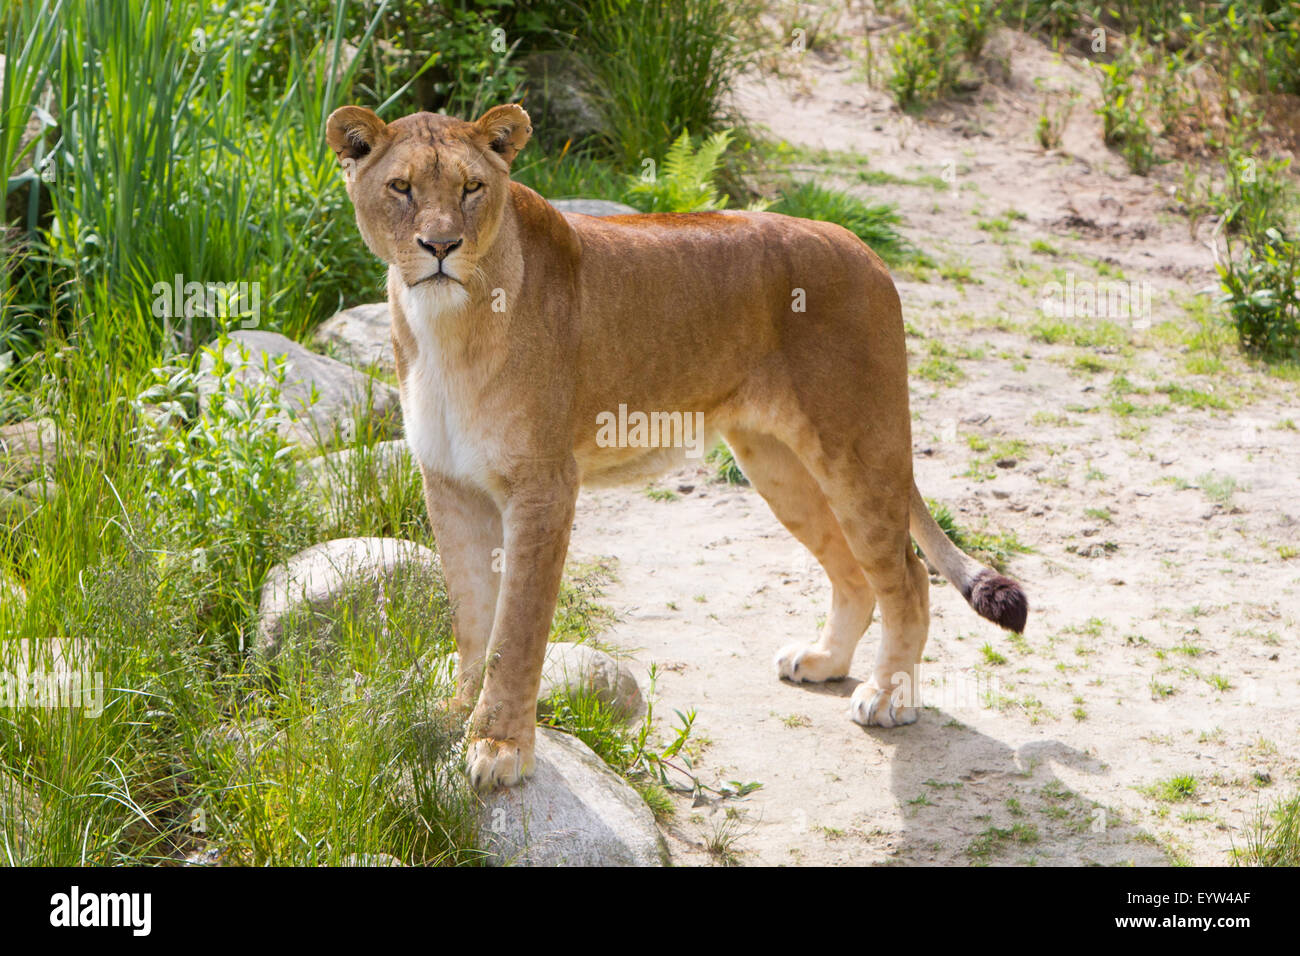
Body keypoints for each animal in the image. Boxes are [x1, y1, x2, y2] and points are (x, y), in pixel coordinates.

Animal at [326, 103, 1028, 791]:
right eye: (401, 188)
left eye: (472, 188)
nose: (441, 246)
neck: (447, 325)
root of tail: (863, 247)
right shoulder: (449, 481)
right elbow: (473, 620)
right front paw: (453, 715)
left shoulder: (544, 487)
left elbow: (516, 631)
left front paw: (500, 747)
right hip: (776, 462)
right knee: (851, 568)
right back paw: (824, 660)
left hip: (858, 446)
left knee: (906, 574)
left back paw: (889, 697)